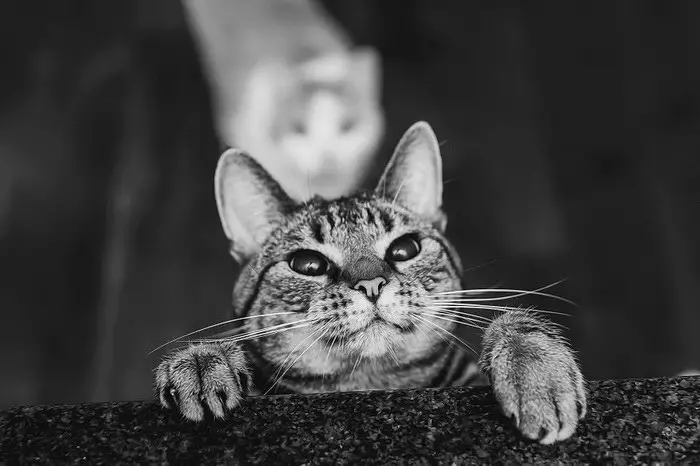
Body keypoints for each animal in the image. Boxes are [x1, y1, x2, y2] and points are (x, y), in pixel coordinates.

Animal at [156, 121, 588, 444]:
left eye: (405, 248)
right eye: (307, 264)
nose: (372, 285)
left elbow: (515, 321)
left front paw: (535, 371)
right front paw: (203, 361)